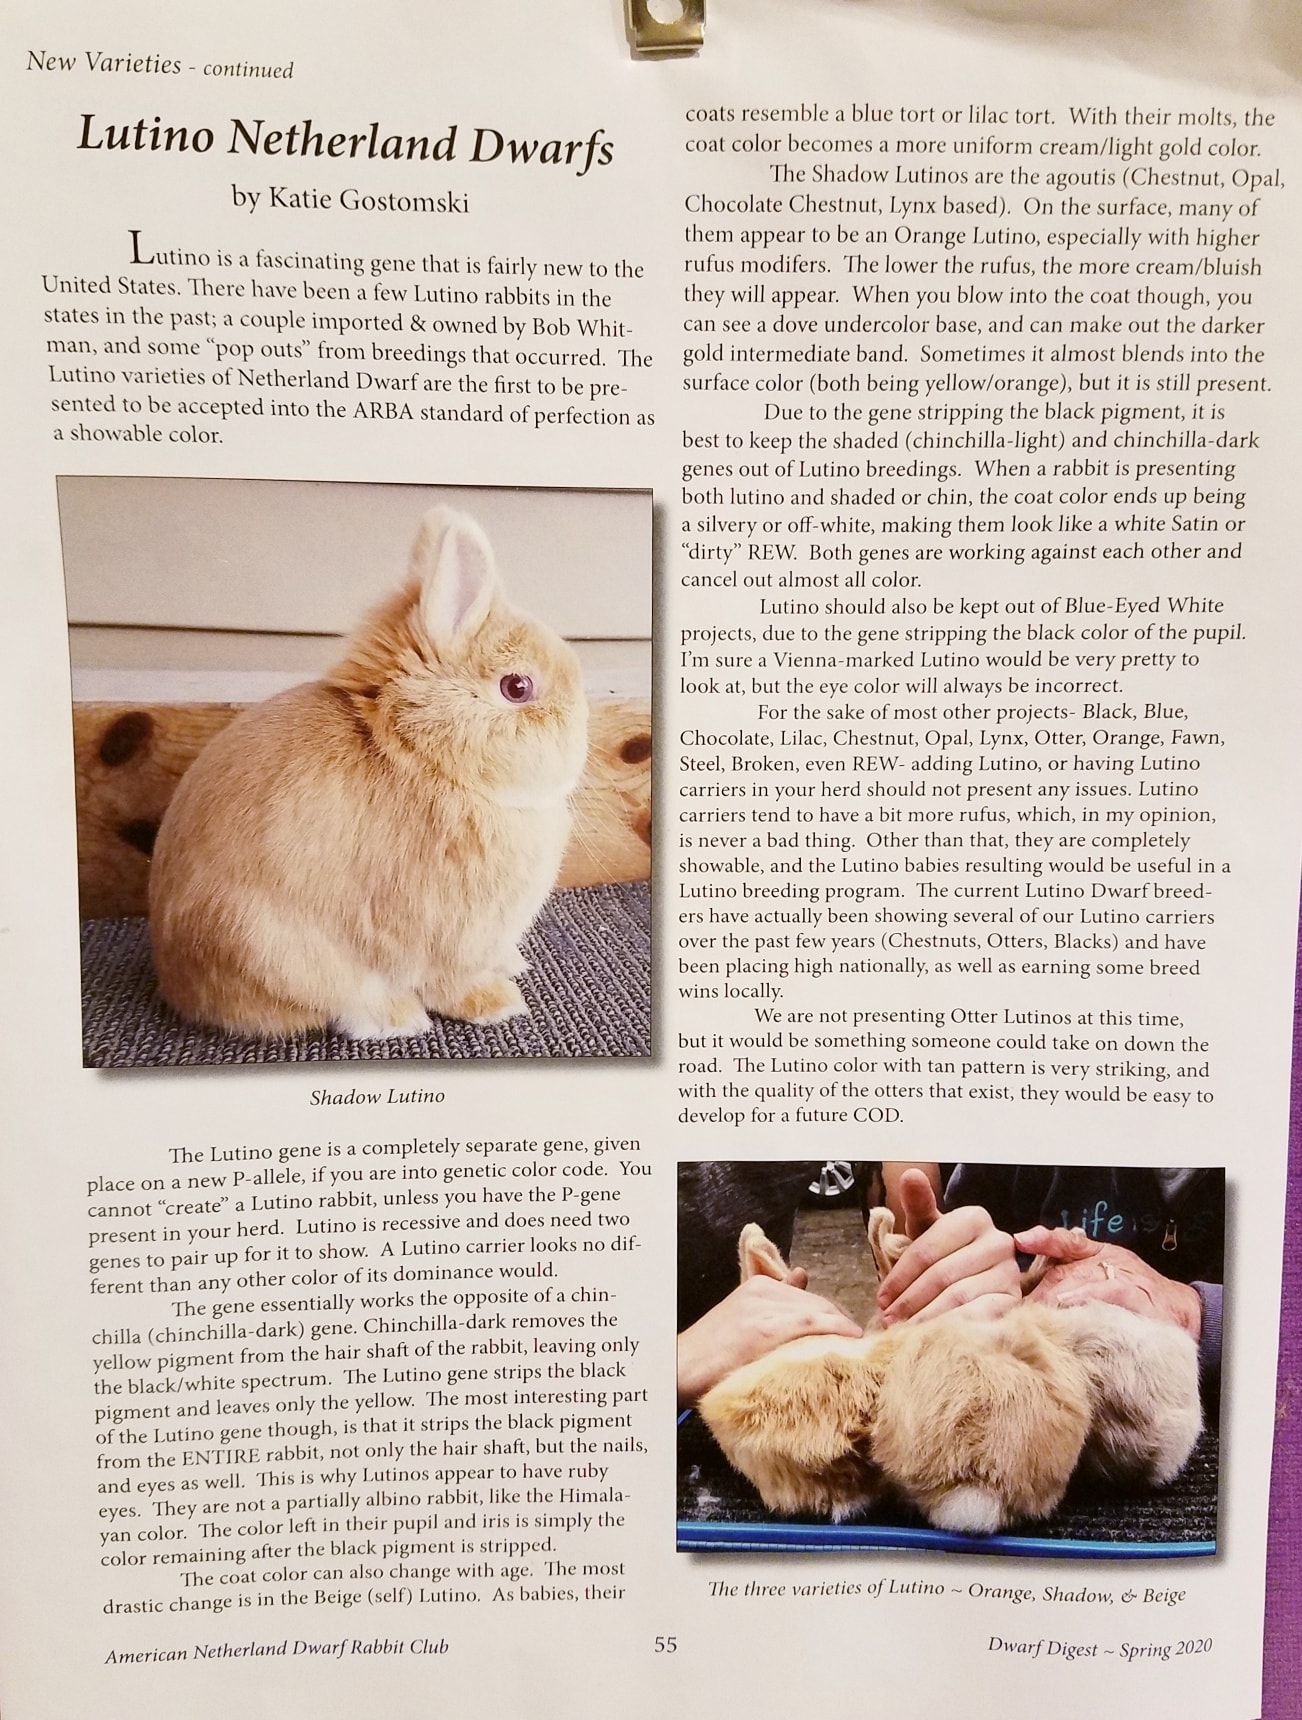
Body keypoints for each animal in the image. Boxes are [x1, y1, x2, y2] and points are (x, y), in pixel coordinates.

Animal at [148, 507, 589, 1039]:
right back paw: (402, 1017)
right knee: (343, 1004)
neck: (425, 758)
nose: (582, 734)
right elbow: (451, 983)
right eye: (518, 687)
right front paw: (499, 1003)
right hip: (272, 948)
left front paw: (511, 966)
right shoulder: (448, 936)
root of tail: (176, 985)